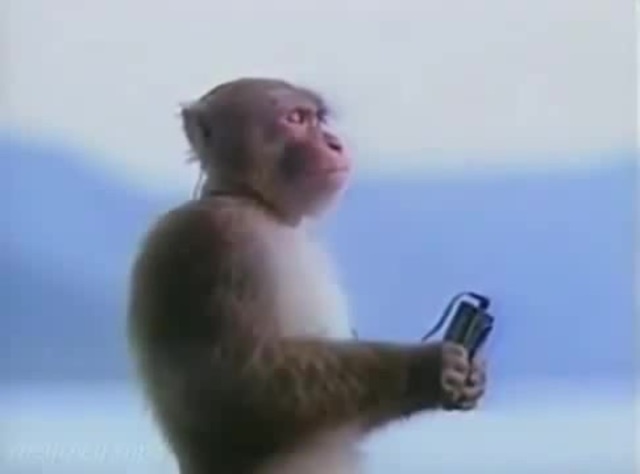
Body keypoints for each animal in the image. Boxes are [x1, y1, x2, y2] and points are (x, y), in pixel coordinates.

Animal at [127, 77, 487, 474]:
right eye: (296, 119)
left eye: (319, 118)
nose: (334, 142)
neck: (254, 203)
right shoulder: (214, 240)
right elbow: (234, 393)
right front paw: (429, 367)